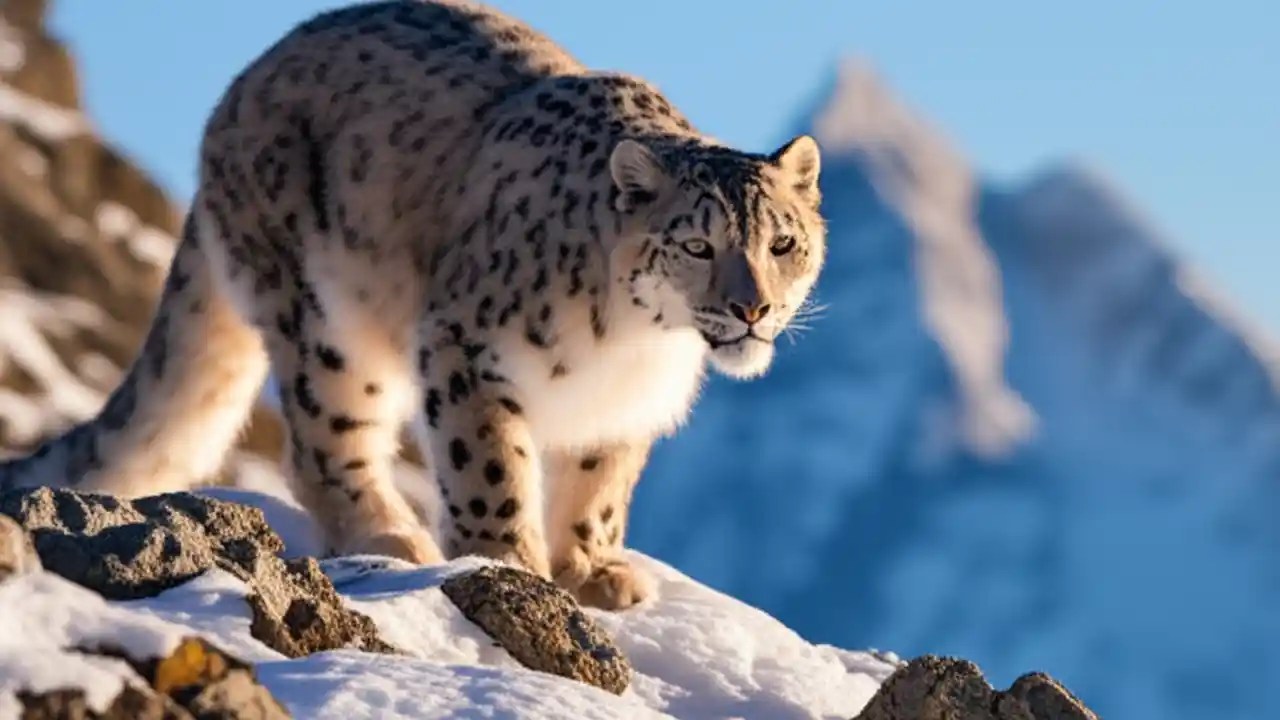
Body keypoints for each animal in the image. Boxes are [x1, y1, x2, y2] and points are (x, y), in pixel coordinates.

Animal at [0, 0, 826, 610]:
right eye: (698, 245)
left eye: (783, 243)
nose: (751, 310)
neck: (634, 342)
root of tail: (236, 92)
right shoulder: (466, 351)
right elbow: (487, 466)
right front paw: (507, 559)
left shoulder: (622, 407)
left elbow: (599, 487)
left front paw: (593, 570)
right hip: (327, 319)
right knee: (322, 440)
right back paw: (391, 537)